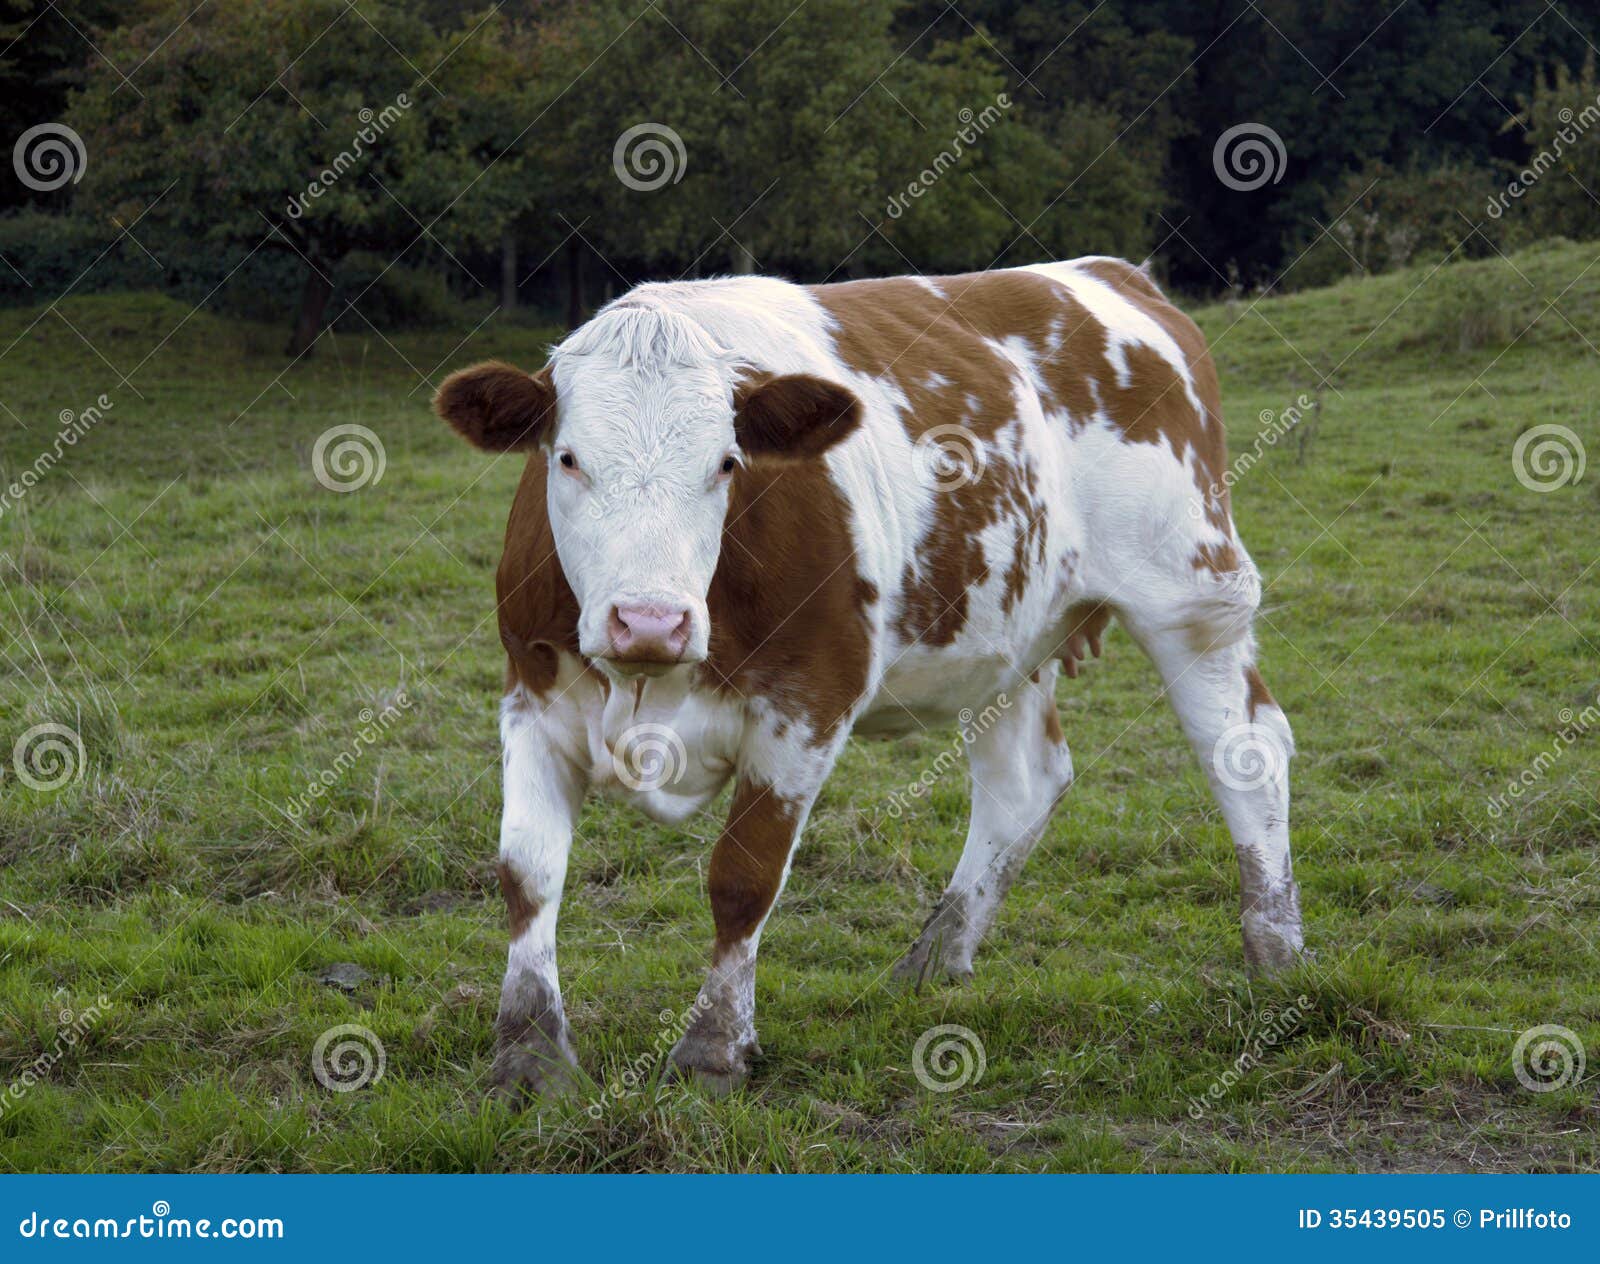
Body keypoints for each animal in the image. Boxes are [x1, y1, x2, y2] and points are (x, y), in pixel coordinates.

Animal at [433, 257, 1304, 1098]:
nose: (649, 621)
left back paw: (1276, 952)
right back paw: (935, 957)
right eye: (568, 458)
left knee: (1247, 753)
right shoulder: (533, 698)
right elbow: (528, 871)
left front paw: (713, 1049)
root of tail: (1111, 275)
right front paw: (529, 1056)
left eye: (727, 463)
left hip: (1193, 596)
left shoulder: (808, 705)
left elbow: (743, 877)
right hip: (1006, 636)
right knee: (1023, 784)